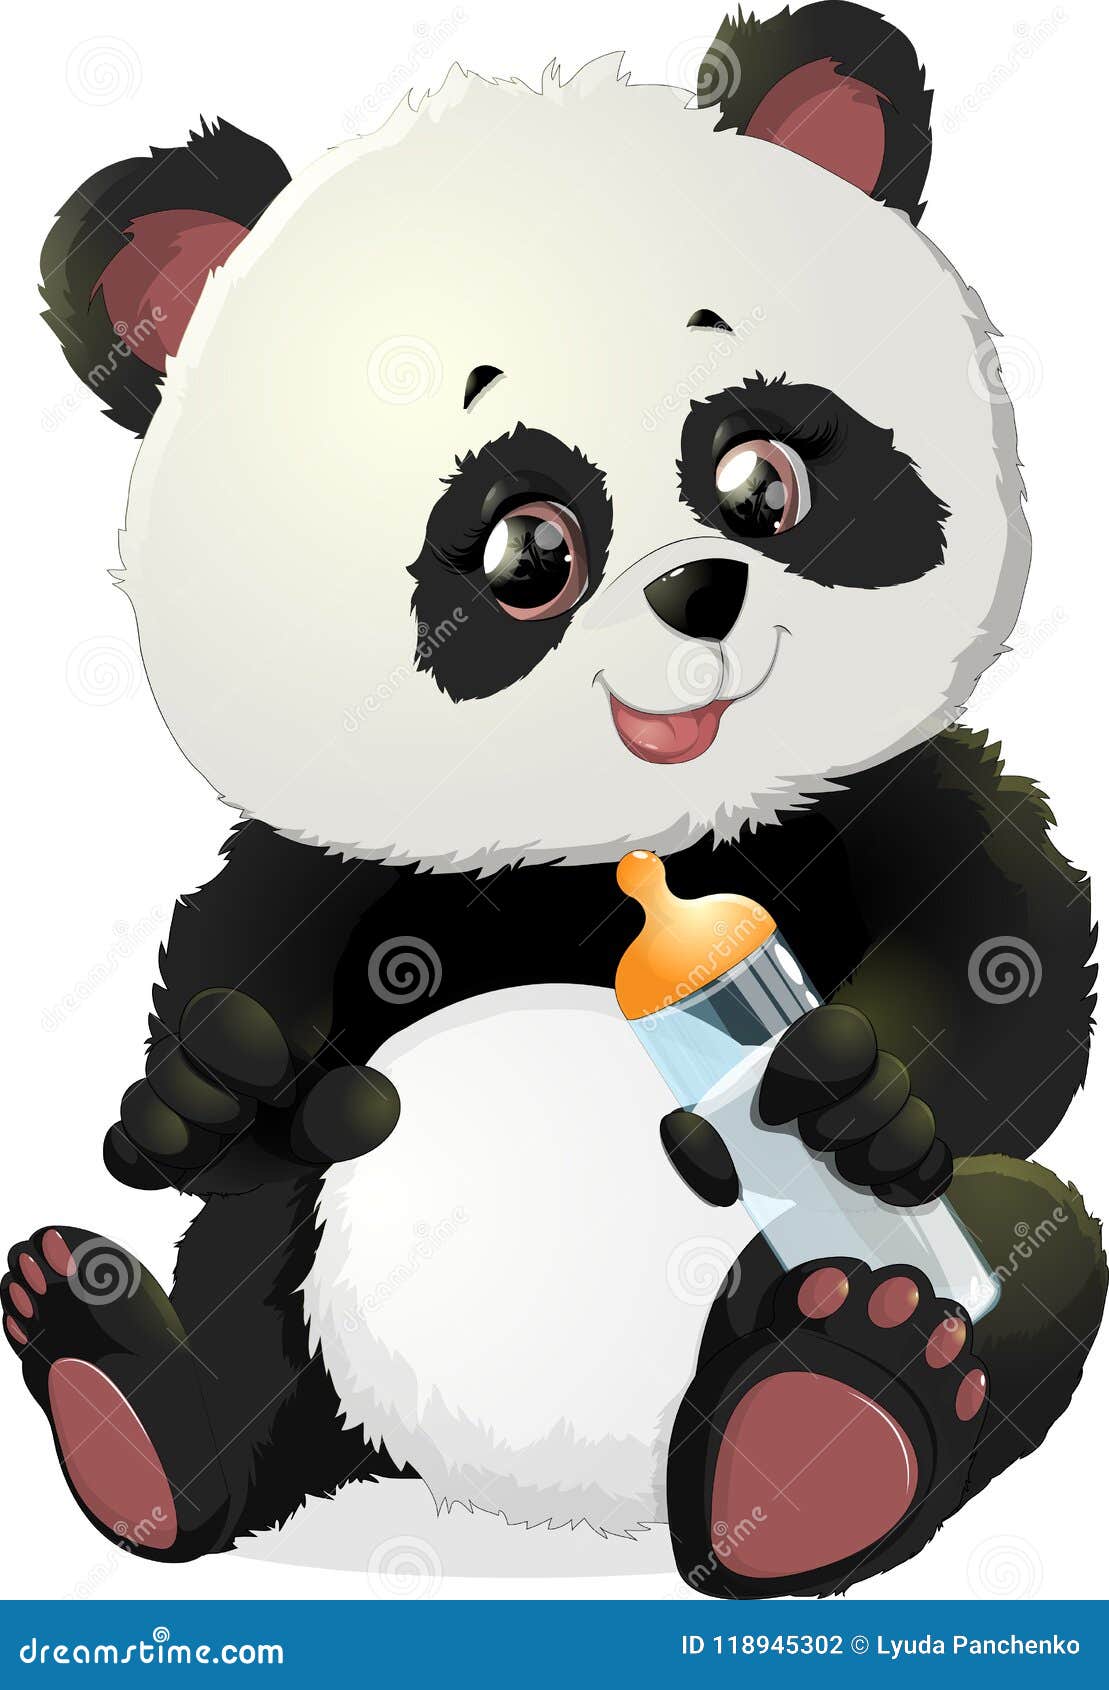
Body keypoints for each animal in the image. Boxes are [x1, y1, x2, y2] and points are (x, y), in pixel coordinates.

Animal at [4, 0, 1105, 1600]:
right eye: (527, 550)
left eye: (763, 477)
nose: (700, 589)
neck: (616, 853)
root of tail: (548, 1502)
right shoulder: (355, 858)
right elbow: (241, 944)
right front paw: (210, 1083)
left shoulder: (874, 794)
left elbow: (1000, 951)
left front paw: (847, 1088)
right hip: (296, 1279)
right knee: (247, 1272)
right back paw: (120, 1397)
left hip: (940, 1261)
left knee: (1025, 1253)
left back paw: (833, 1399)